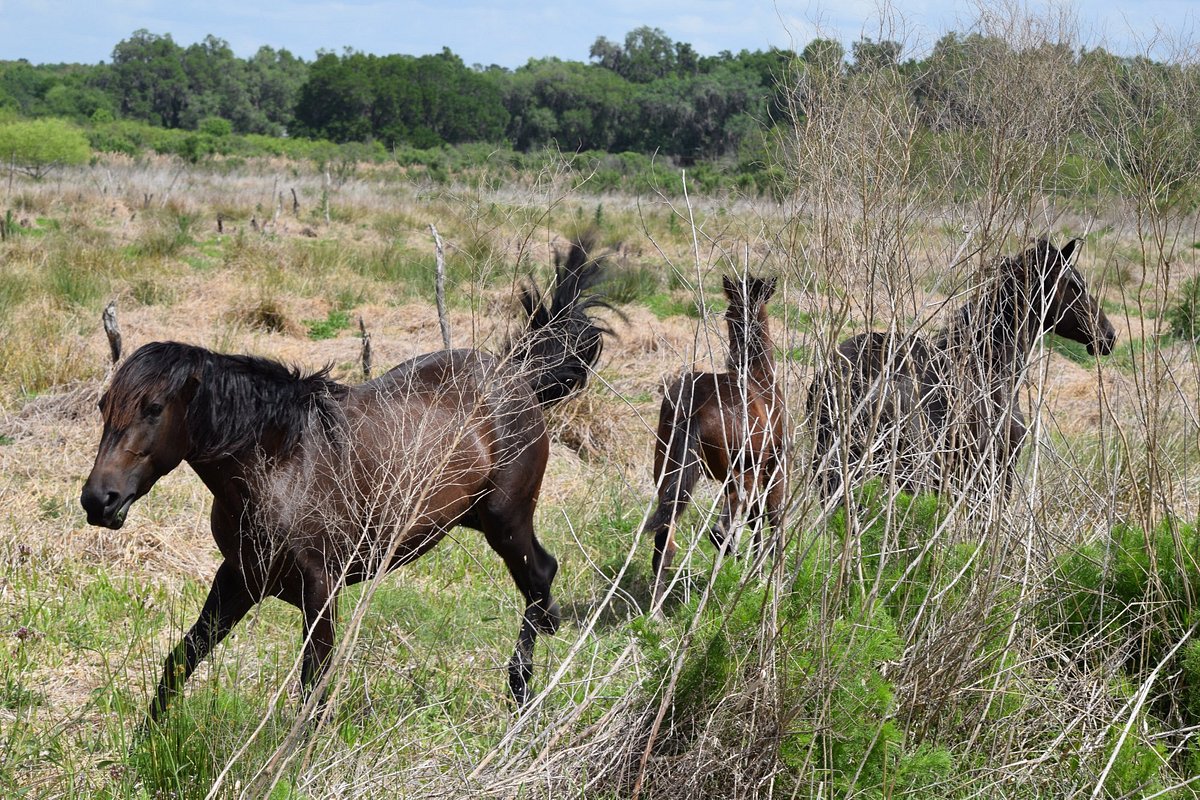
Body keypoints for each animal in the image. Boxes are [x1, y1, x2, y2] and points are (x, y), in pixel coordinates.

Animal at [80, 246, 611, 725]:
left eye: (153, 408)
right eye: (103, 405)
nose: (97, 500)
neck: (279, 467)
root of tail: (518, 374)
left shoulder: (321, 590)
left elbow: (312, 692)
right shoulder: (239, 578)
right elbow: (182, 659)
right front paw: (147, 742)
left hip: (506, 518)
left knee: (539, 578)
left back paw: (521, 691)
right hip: (475, 519)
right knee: (542, 584)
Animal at [643, 275, 786, 611]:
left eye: (730, 313)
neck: (759, 375)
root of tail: (691, 405)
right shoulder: (774, 466)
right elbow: (771, 519)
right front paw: (768, 577)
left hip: (668, 469)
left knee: (666, 538)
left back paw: (655, 613)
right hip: (741, 470)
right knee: (724, 526)